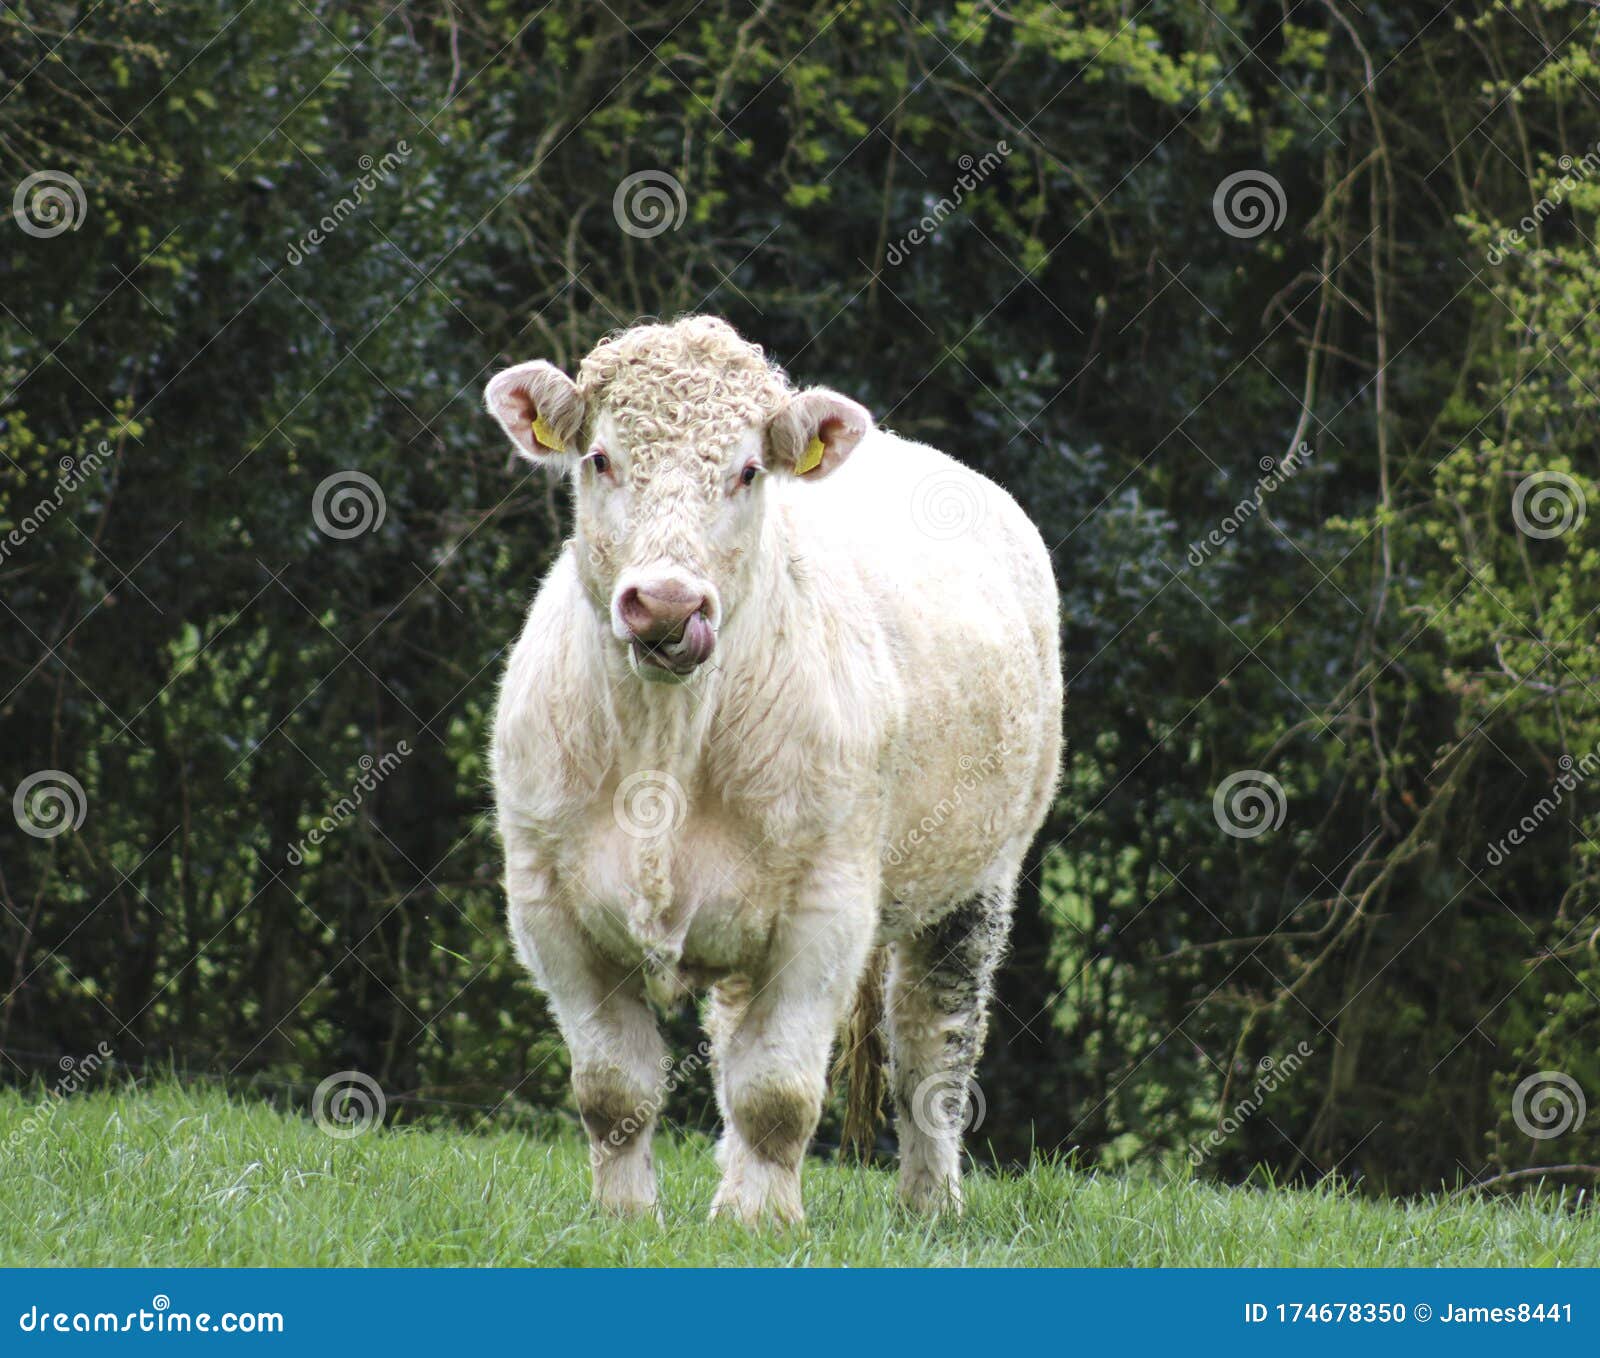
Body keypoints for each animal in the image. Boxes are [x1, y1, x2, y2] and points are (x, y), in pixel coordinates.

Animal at [485, 316, 1062, 1225]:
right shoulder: (546, 903)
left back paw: (930, 1203)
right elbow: (613, 1088)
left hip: (979, 879)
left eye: (748, 469)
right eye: (601, 458)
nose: (668, 604)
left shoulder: (827, 907)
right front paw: (627, 1216)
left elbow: (778, 1091)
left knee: (931, 1043)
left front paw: (762, 1223)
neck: (665, 749)